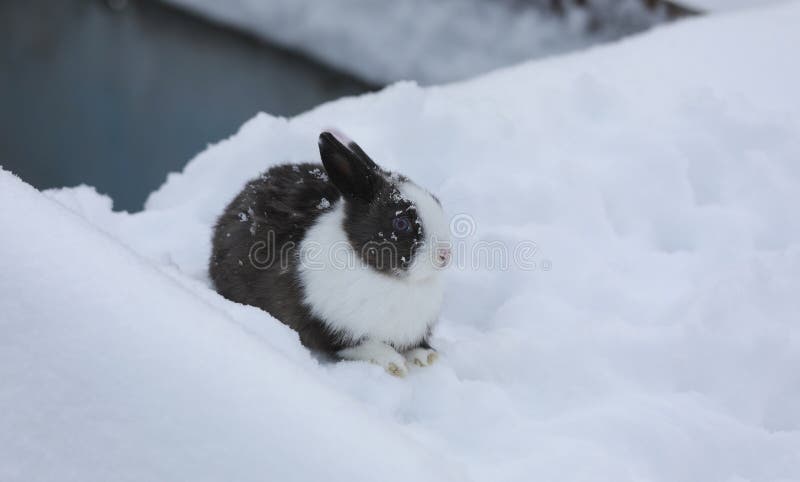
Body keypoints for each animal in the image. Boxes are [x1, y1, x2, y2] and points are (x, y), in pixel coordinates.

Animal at [209, 131, 451, 377]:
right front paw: (394, 364)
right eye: (401, 223)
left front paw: (426, 357)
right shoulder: (331, 329)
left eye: (437, 202)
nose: (445, 255)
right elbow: (364, 346)